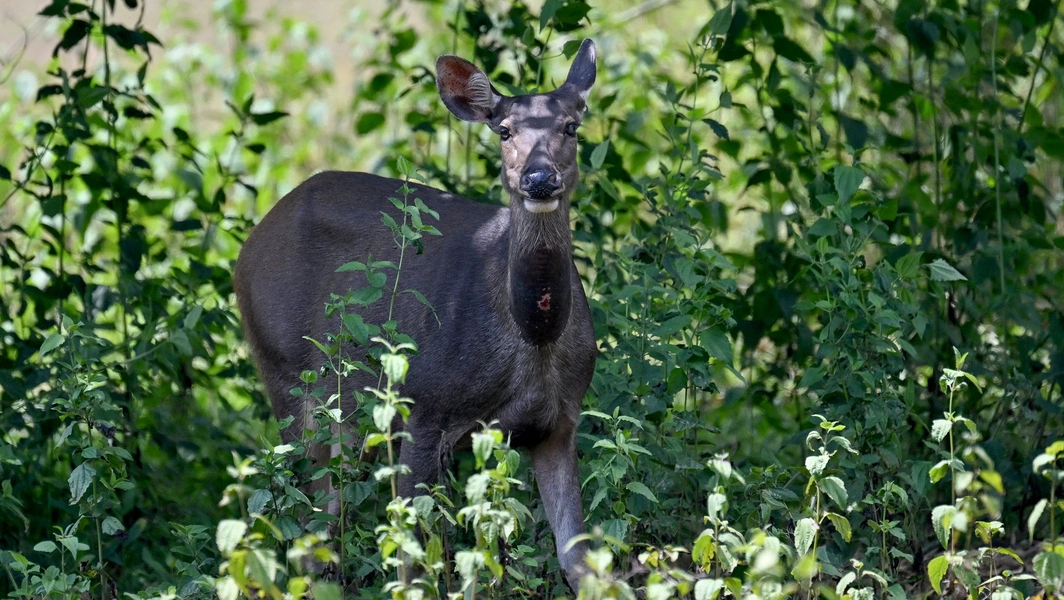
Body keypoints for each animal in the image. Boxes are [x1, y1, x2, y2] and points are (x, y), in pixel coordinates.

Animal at [232, 40, 598, 589]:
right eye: (504, 129)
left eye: (572, 126)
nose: (539, 179)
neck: (534, 339)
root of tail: (247, 247)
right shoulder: (424, 408)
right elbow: (415, 559)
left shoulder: (557, 421)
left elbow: (574, 559)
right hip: (286, 372)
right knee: (309, 521)